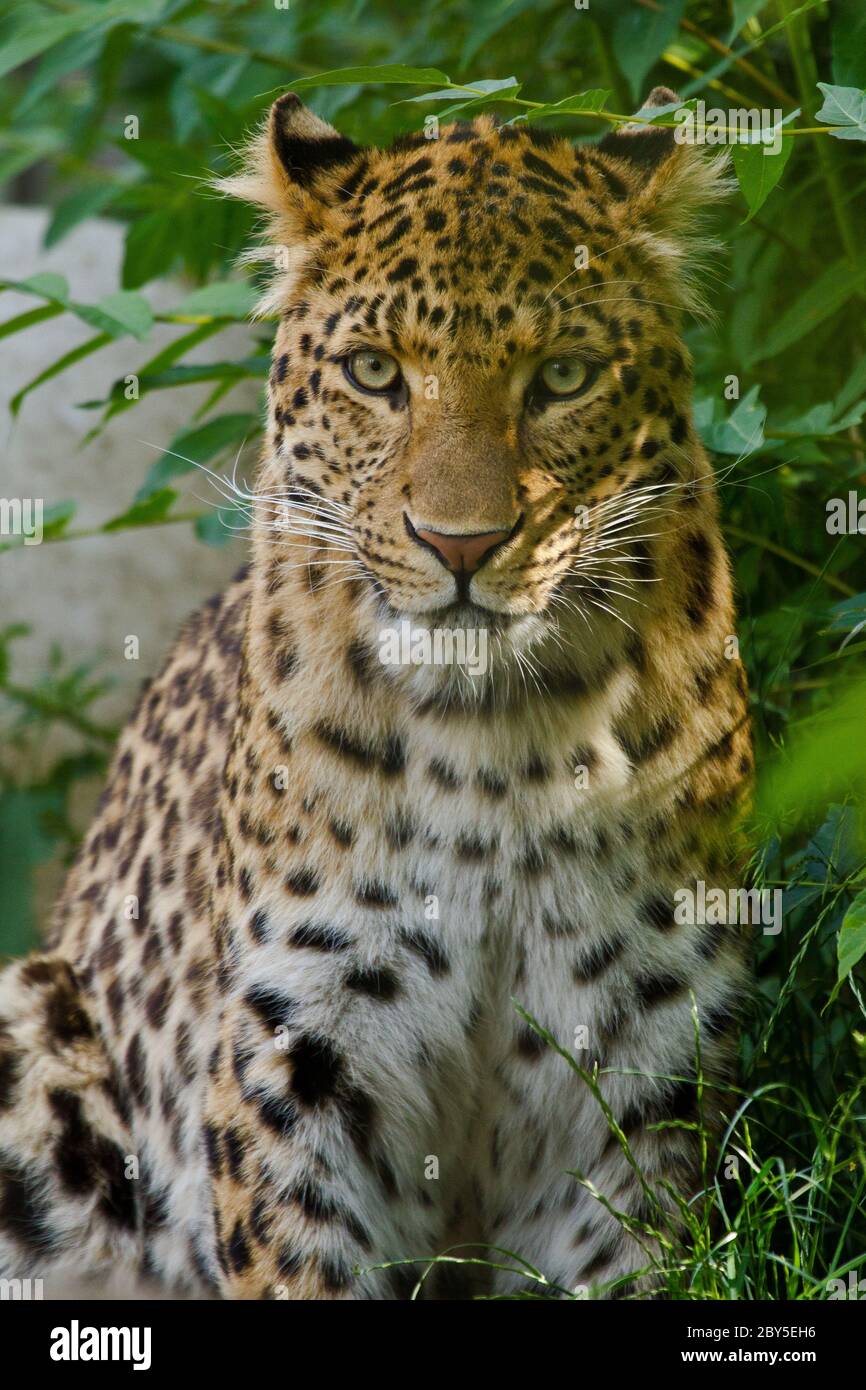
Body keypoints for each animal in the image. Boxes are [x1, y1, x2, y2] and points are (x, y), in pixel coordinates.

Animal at [0, 89, 750, 1301]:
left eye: (562, 378)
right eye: (373, 373)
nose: (462, 543)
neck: (498, 750)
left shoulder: (637, 1058)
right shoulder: (299, 1045)